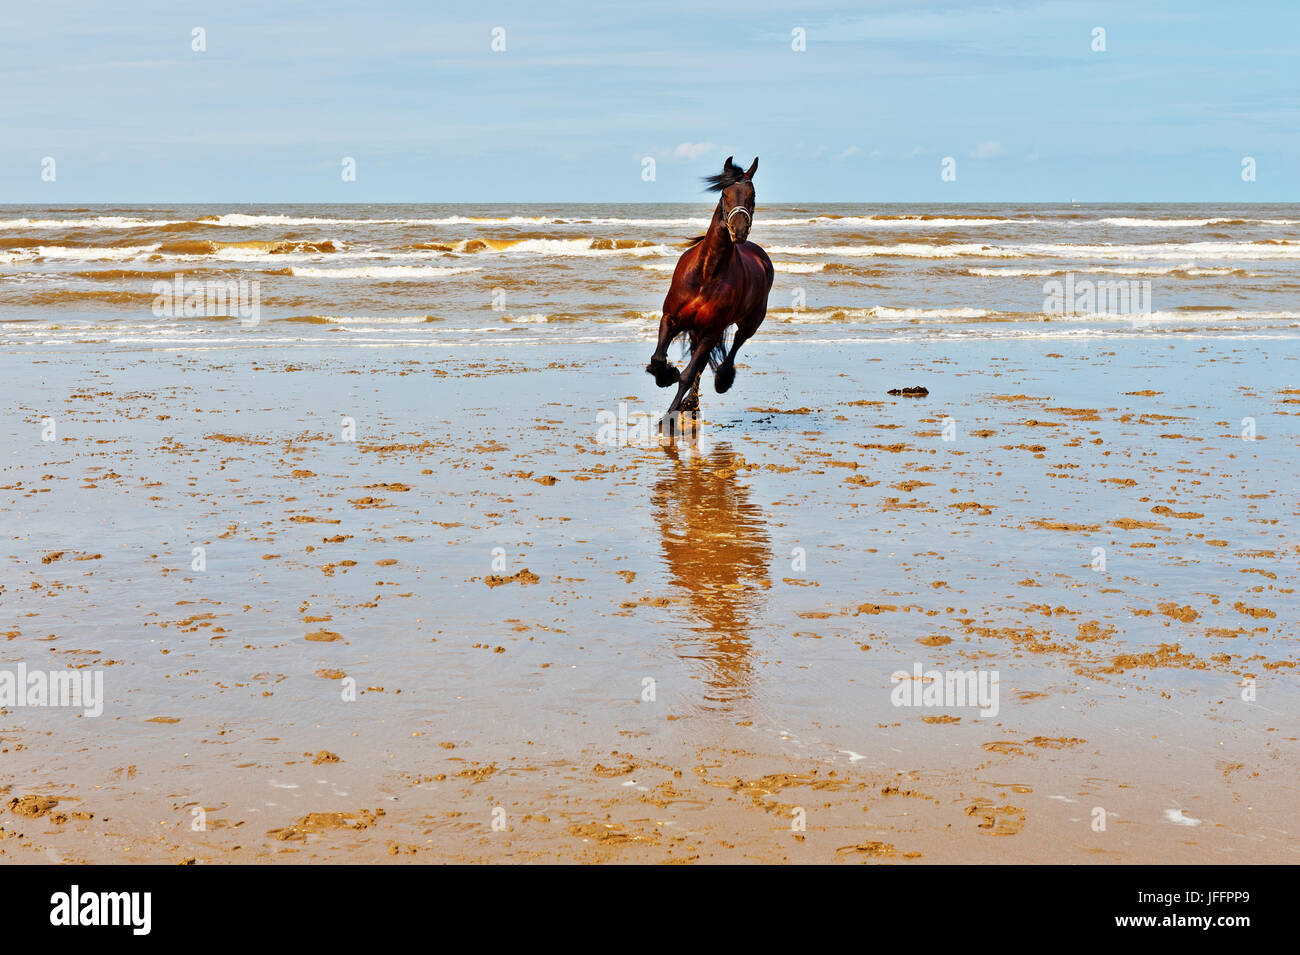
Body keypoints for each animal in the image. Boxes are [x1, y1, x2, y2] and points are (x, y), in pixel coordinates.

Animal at [646, 156, 774, 425]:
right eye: (725, 193)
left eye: (753, 194)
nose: (738, 231)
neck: (706, 274)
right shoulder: (671, 319)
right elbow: (658, 359)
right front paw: (666, 375)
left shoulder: (711, 331)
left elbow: (688, 373)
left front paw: (669, 416)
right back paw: (691, 401)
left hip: (749, 322)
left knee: (735, 345)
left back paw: (720, 382)